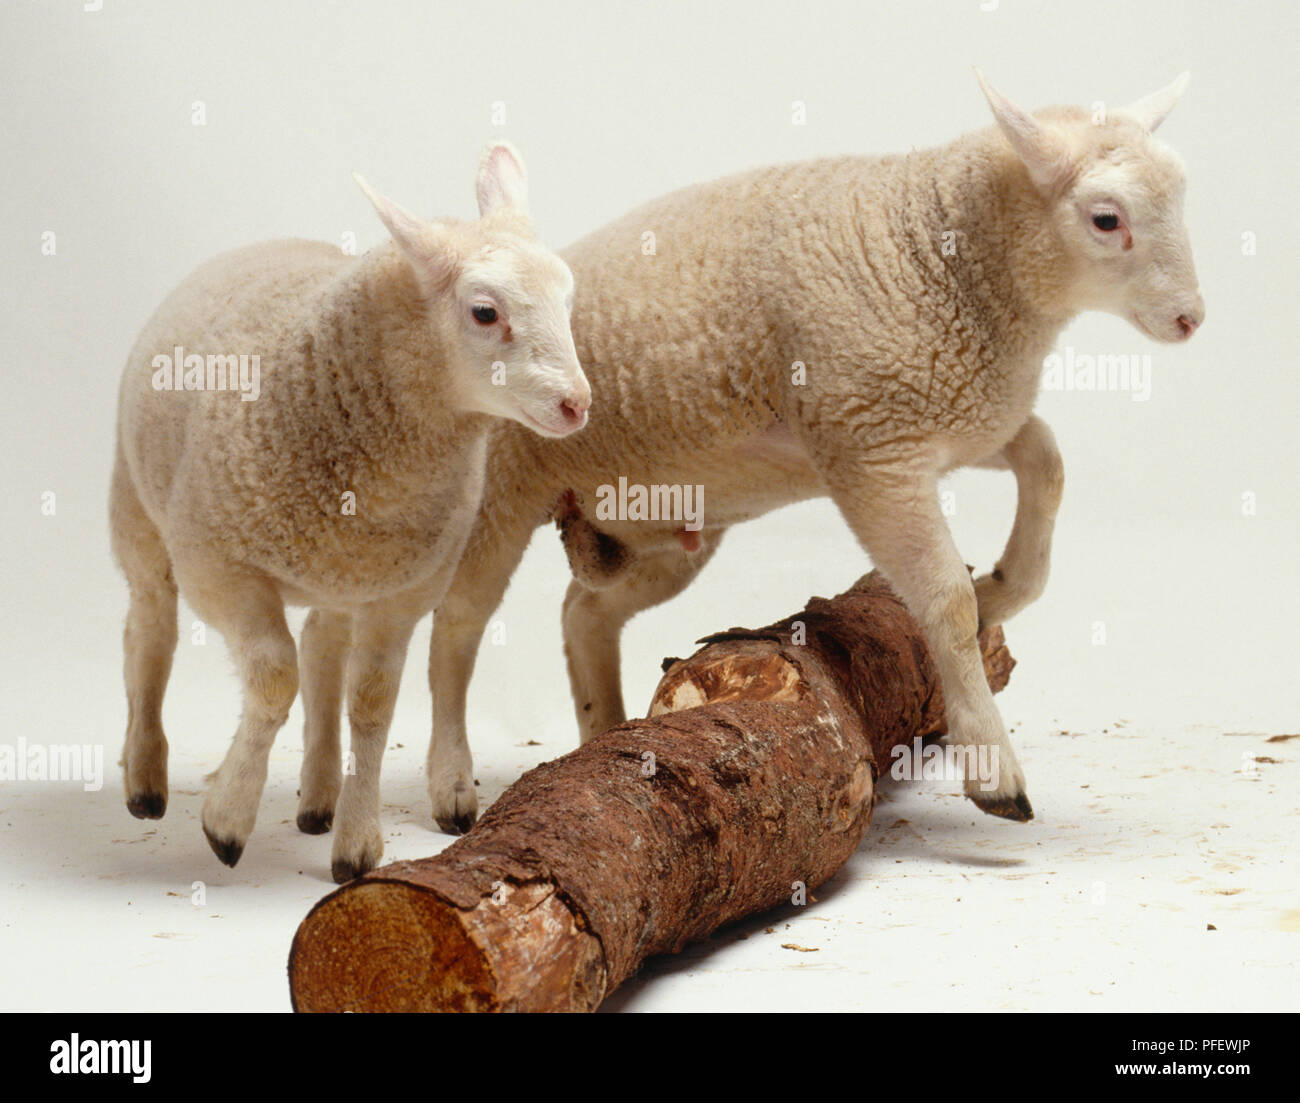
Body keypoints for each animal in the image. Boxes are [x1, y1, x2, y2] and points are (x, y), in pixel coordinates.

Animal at [110, 141, 590, 881]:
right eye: (484, 311)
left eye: (568, 298)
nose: (577, 404)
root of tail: (259, 243)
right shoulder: (219, 565)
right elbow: (272, 678)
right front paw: (226, 820)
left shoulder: (402, 589)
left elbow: (369, 703)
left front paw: (357, 843)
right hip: (138, 506)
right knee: (149, 627)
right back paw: (144, 780)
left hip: (342, 567)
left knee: (321, 646)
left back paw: (318, 795)